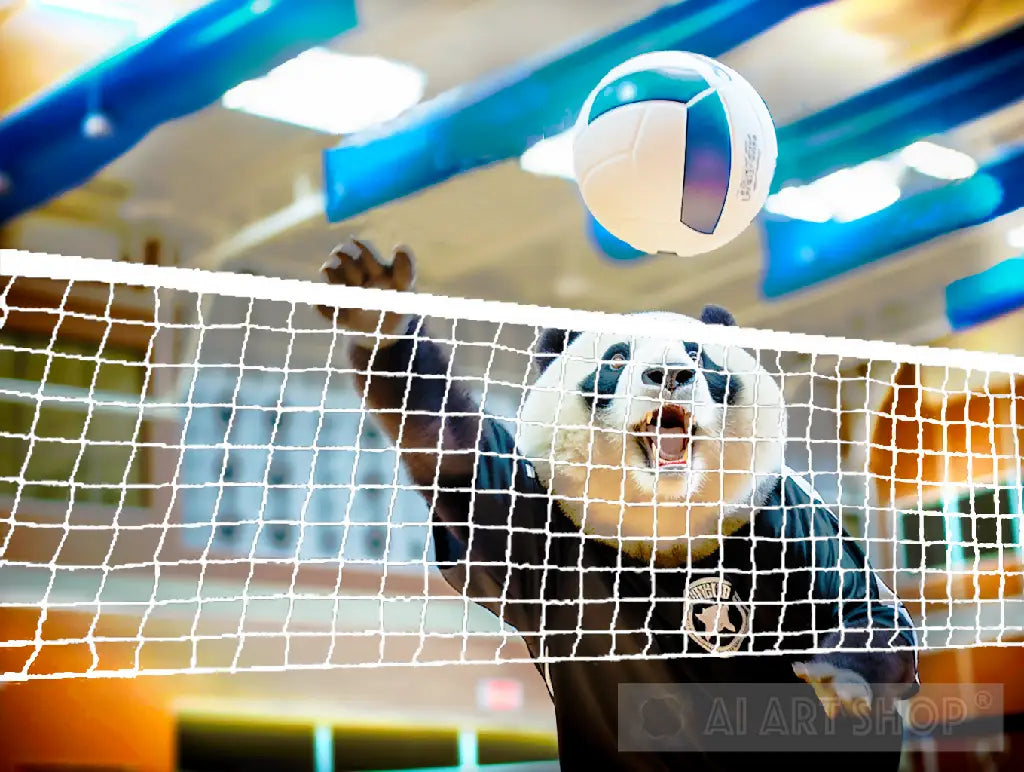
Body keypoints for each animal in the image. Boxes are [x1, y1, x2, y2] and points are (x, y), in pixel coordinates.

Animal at [317, 238, 920, 772]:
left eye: (698, 355)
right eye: (616, 359)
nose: (671, 374)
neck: (663, 513)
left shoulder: (784, 517)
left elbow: (868, 613)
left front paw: (842, 675)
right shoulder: (542, 523)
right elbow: (451, 446)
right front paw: (379, 317)